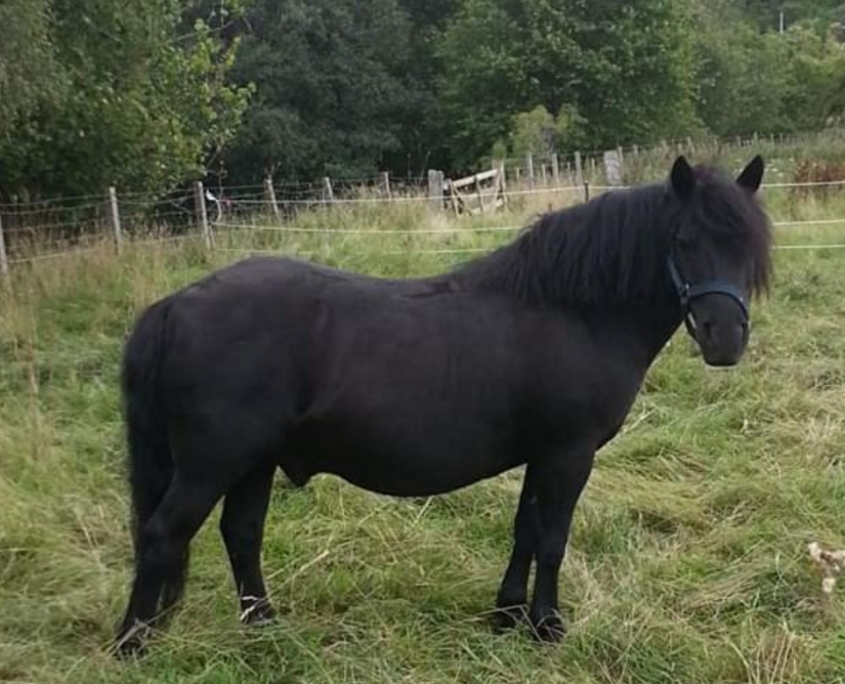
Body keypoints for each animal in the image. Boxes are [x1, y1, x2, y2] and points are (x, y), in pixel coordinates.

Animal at [113, 155, 773, 656]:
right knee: (163, 533)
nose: (723, 338)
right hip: (212, 463)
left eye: (748, 244)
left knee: (241, 533)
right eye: (685, 241)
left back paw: (265, 627)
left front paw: (506, 616)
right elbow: (553, 538)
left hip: (254, 461)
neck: (573, 309)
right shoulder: (568, 453)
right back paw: (133, 645)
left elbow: (526, 530)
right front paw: (547, 626)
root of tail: (173, 306)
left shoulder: (540, 455)